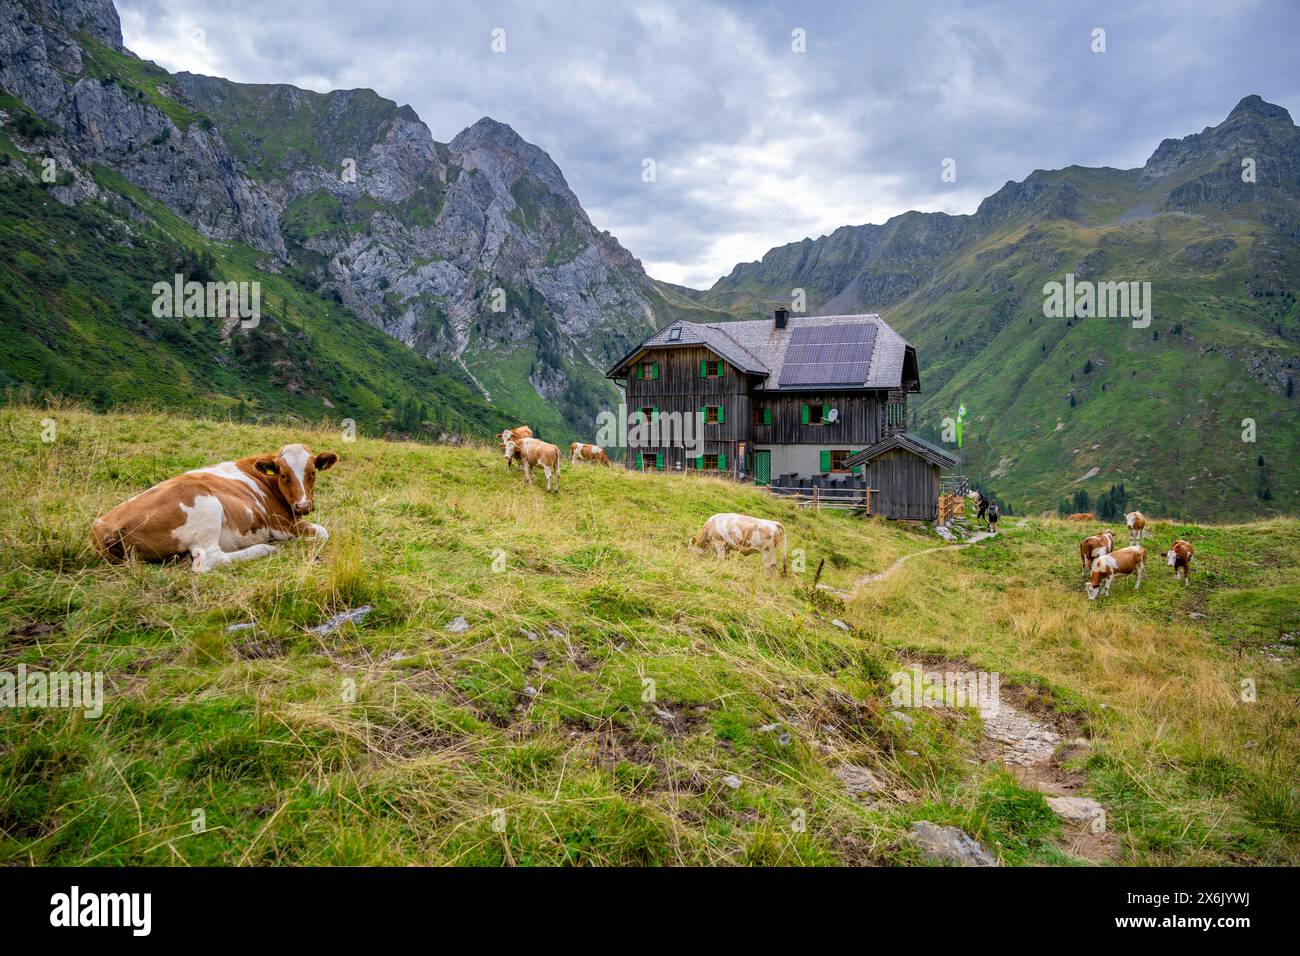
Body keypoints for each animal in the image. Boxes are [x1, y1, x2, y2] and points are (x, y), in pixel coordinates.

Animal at [91, 444, 338, 573]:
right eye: (284, 476)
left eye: (312, 473)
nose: (303, 505)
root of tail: (103, 526)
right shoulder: (281, 525)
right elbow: (324, 532)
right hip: (206, 508)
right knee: (208, 560)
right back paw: (265, 549)